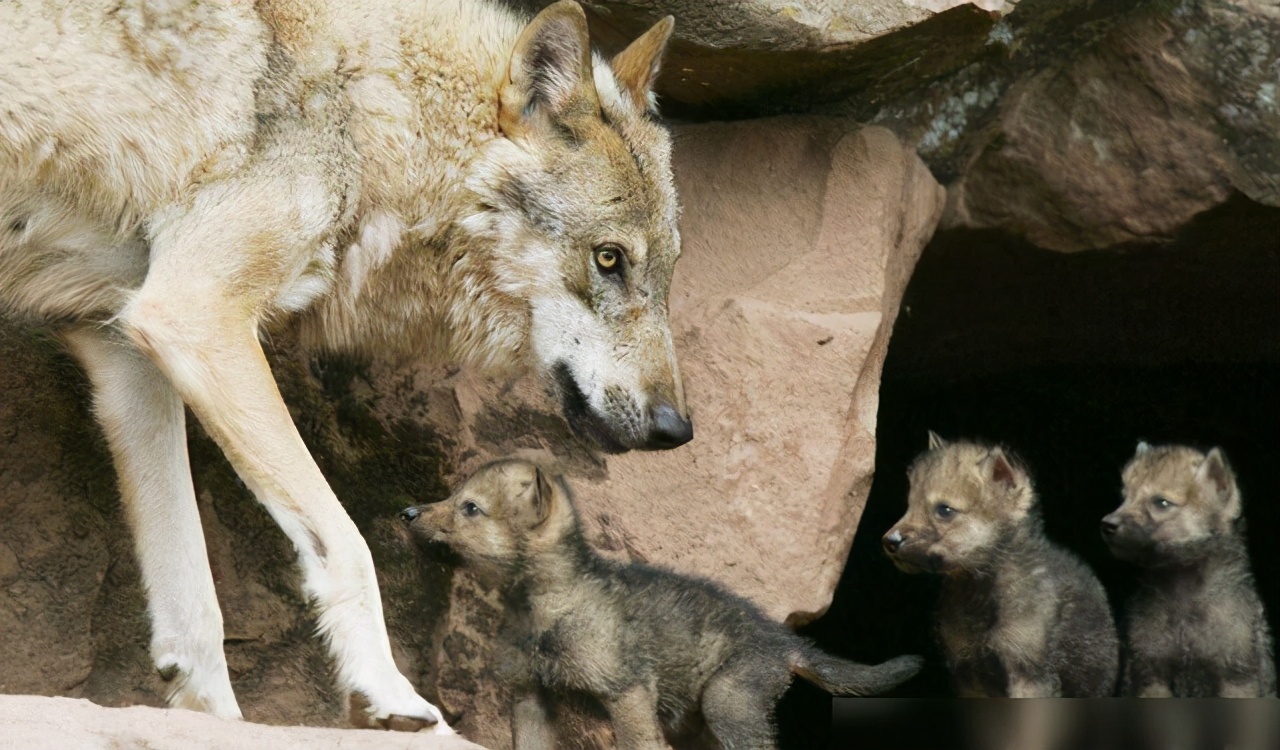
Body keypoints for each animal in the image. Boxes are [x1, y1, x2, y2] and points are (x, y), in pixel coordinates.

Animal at [1, 0, 691, 730]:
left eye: (667, 273)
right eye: (609, 258)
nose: (676, 429)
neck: (367, 111)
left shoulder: (124, 345)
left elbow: (194, 609)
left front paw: (216, 722)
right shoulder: (194, 315)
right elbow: (350, 546)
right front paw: (390, 696)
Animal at [401, 459, 924, 750]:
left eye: (470, 508)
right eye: (452, 496)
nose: (405, 512)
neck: (540, 607)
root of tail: (785, 640)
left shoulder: (626, 692)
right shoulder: (528, 696)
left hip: (728, 701)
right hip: (695, 723)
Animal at [882, 432, 1119, 697]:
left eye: (944, 510)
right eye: (910, 505)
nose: (889, 541)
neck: (978, 595)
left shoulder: (1027, 673)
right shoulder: (967, 672)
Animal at [1102, 442, 1276, 697]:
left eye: (1161, 502)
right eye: (1125, 498)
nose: (1106, 525)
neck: (1184, 593)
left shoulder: (1236, 677)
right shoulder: (1151, 674)